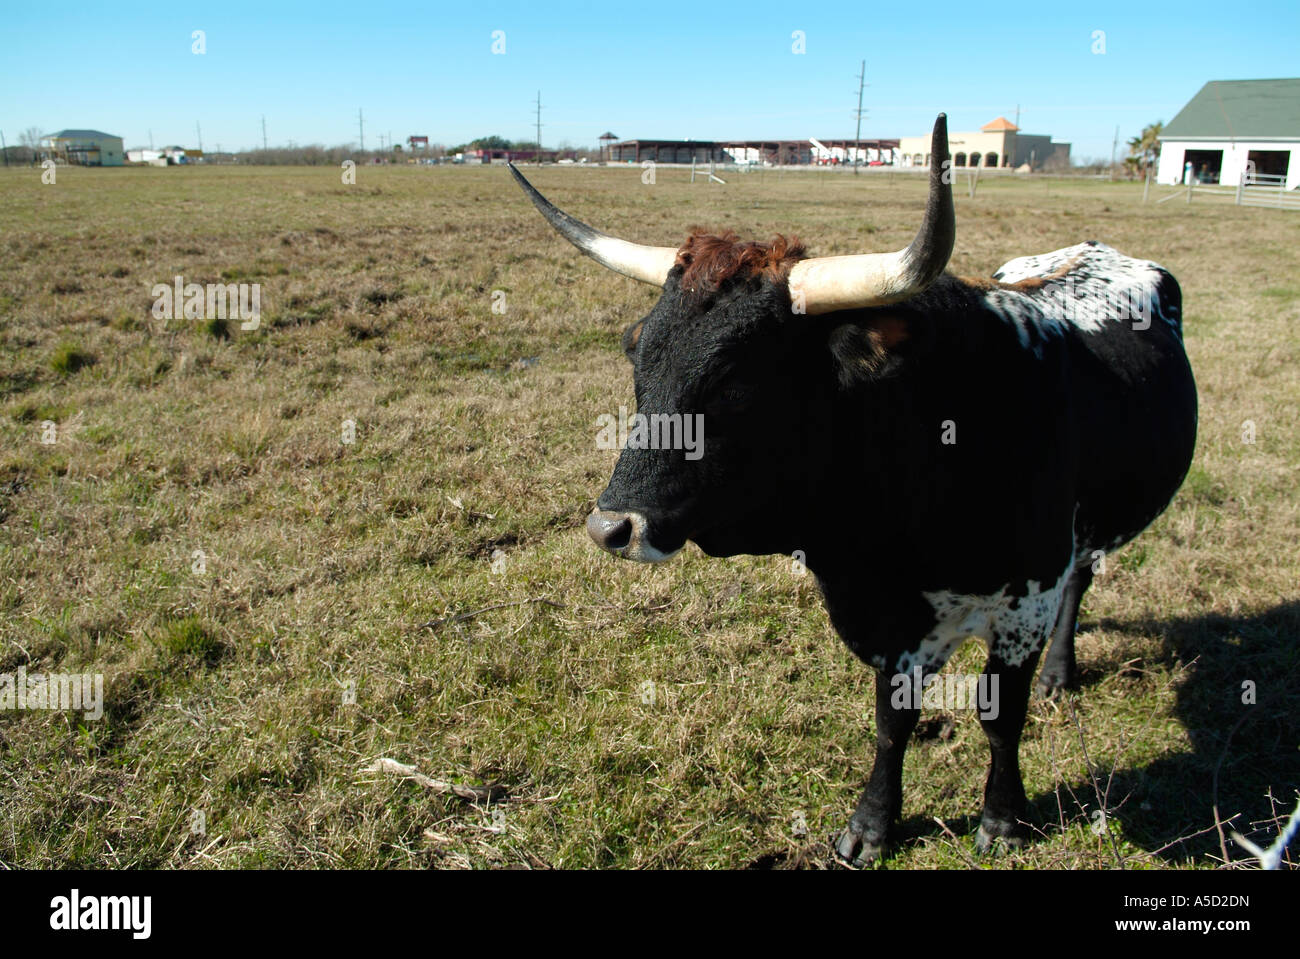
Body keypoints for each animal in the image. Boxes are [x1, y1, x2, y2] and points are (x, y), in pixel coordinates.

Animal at [508, 114, 1198, 865]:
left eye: (735, 382)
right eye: (639, 356)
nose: (612, 528)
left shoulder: (1027, 600)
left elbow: (1000, 715)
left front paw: (1004, 819)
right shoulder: (886, 617)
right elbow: (893, 720)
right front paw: (870, 827)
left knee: (1082, 582)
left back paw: (1059, 676)